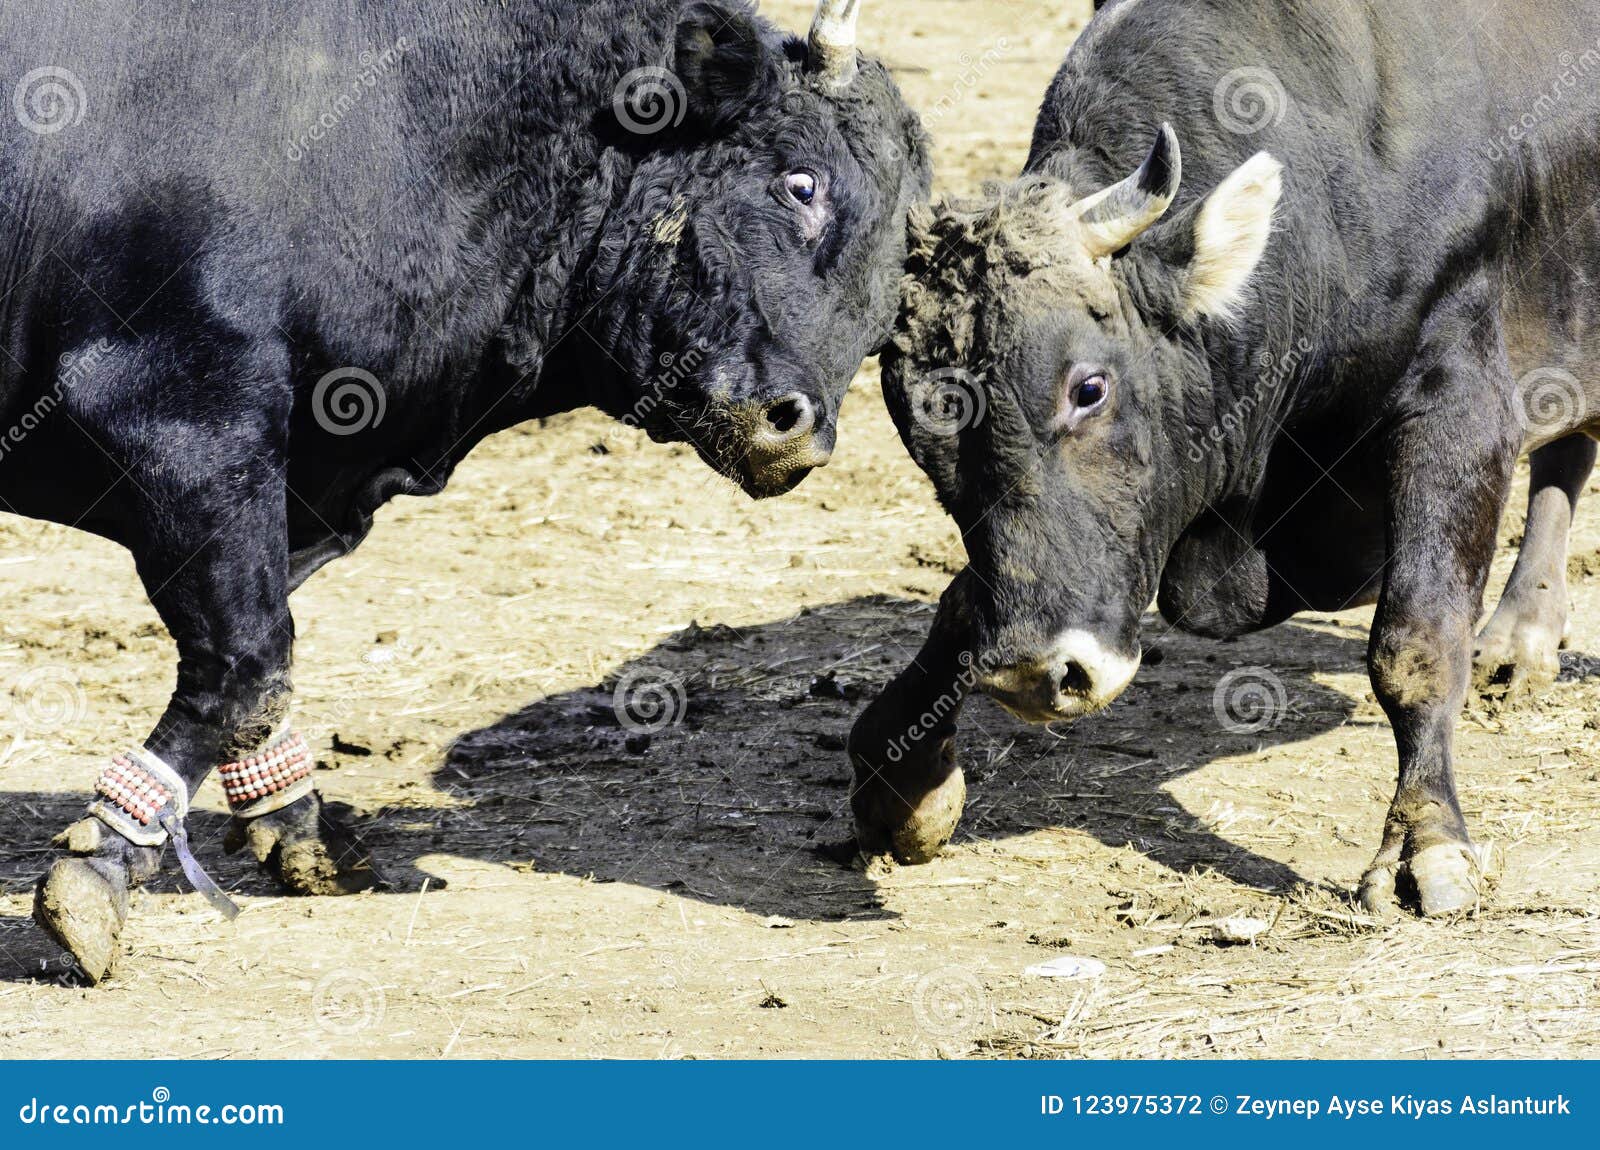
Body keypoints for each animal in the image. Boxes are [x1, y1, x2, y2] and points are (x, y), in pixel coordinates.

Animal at [0, 0, 930, 982]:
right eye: (801, 183)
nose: (799, 432)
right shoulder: (182, 421)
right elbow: (247, 663)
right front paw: (104, 862)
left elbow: (260, 668)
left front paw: (302, 831)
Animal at [848, 0, 1600, 919]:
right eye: (918, 431)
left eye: (1088, 387)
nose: (1034, 674)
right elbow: (964, 601)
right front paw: (897, 777)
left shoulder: (1456, 404)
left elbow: (1415, 642)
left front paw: (1425, 844)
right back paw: (1523, 640)